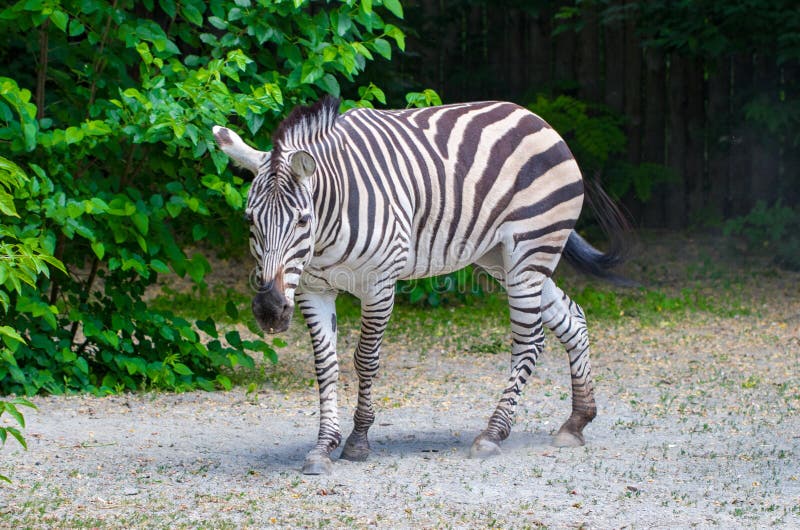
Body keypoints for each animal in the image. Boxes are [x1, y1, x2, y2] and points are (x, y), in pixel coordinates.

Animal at [212, 97, 629, 475]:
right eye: (249, 220)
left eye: (301, 220)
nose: (269, 310)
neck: (328, 220)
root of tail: (537, 119)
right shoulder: (313, 289)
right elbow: (326, 365)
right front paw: (322, 447)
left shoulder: (380, 283)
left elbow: (365, 360)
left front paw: (358, 440)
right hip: (502, 258)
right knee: (573, 319)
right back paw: (576, 422)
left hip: (530, 249)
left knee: (530, 340)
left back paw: (493, 434)